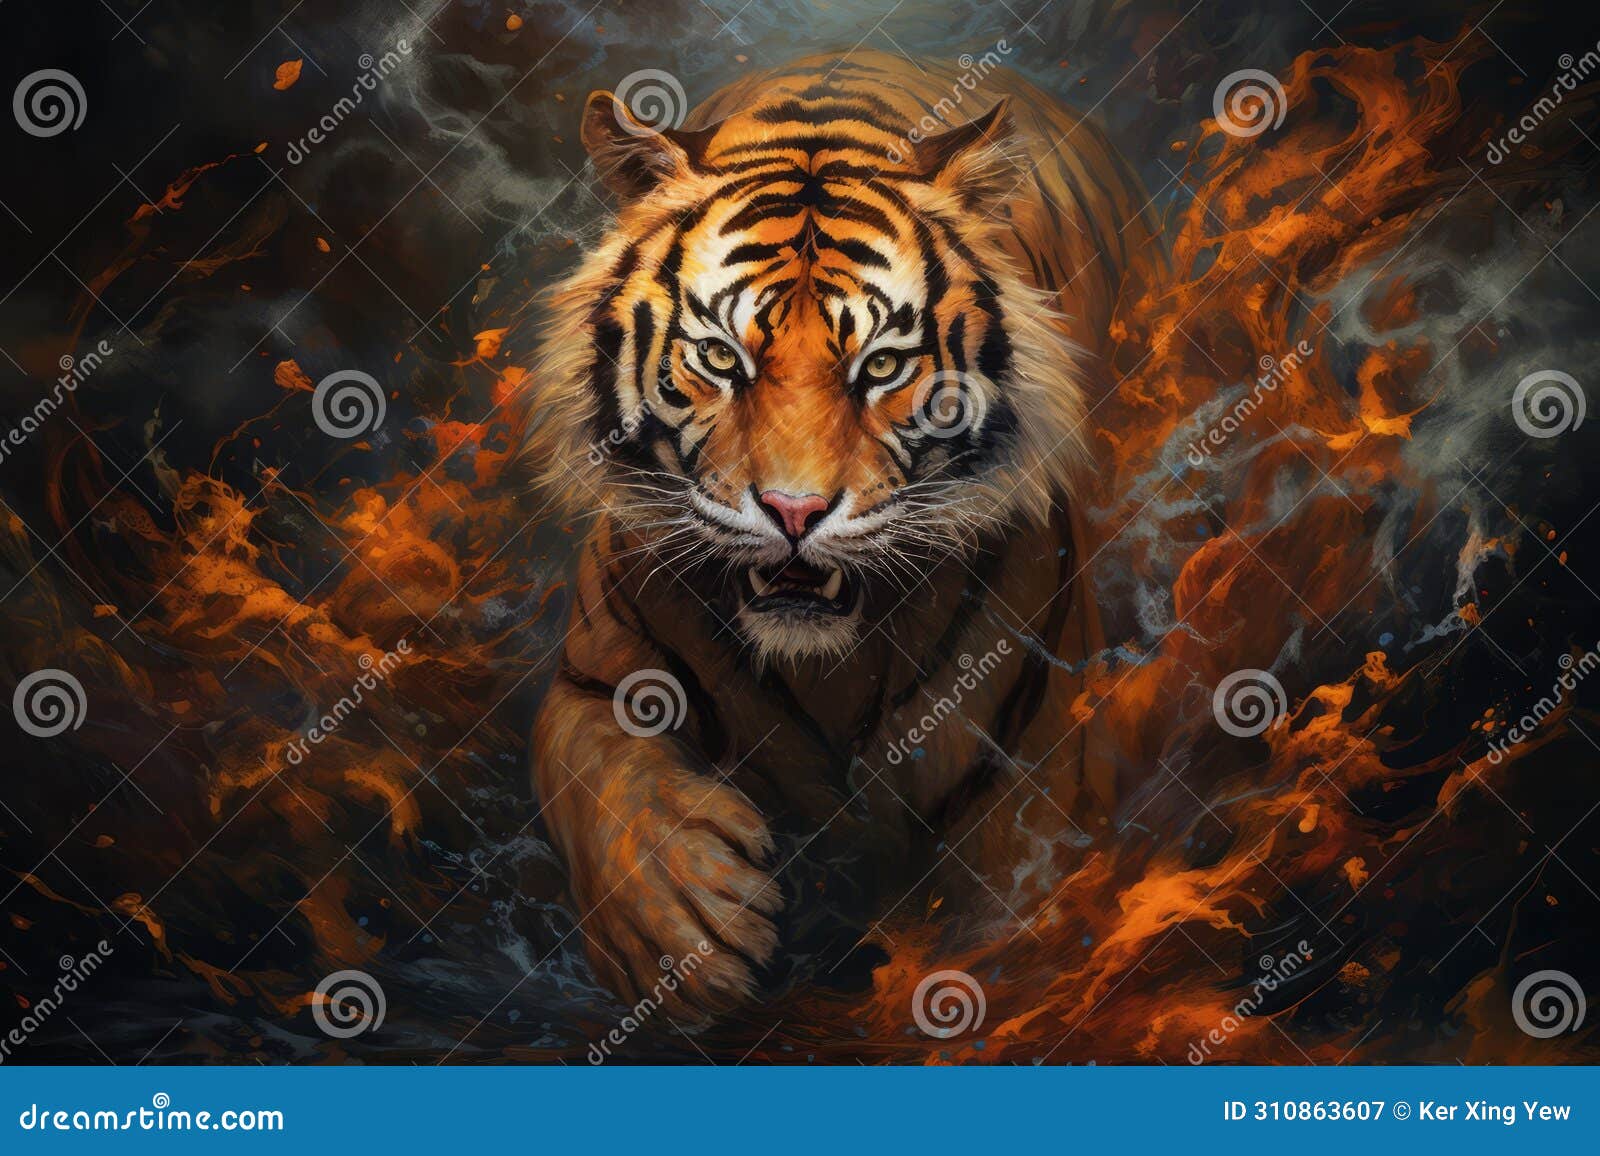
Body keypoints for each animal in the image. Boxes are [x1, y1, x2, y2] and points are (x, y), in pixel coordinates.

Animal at [523, 50, 1157, 1019]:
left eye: (882, 366)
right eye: (720, 358)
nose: (792, 513)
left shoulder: (1039, 753)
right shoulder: (592, 676)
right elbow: (599, 784)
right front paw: (683, 928)